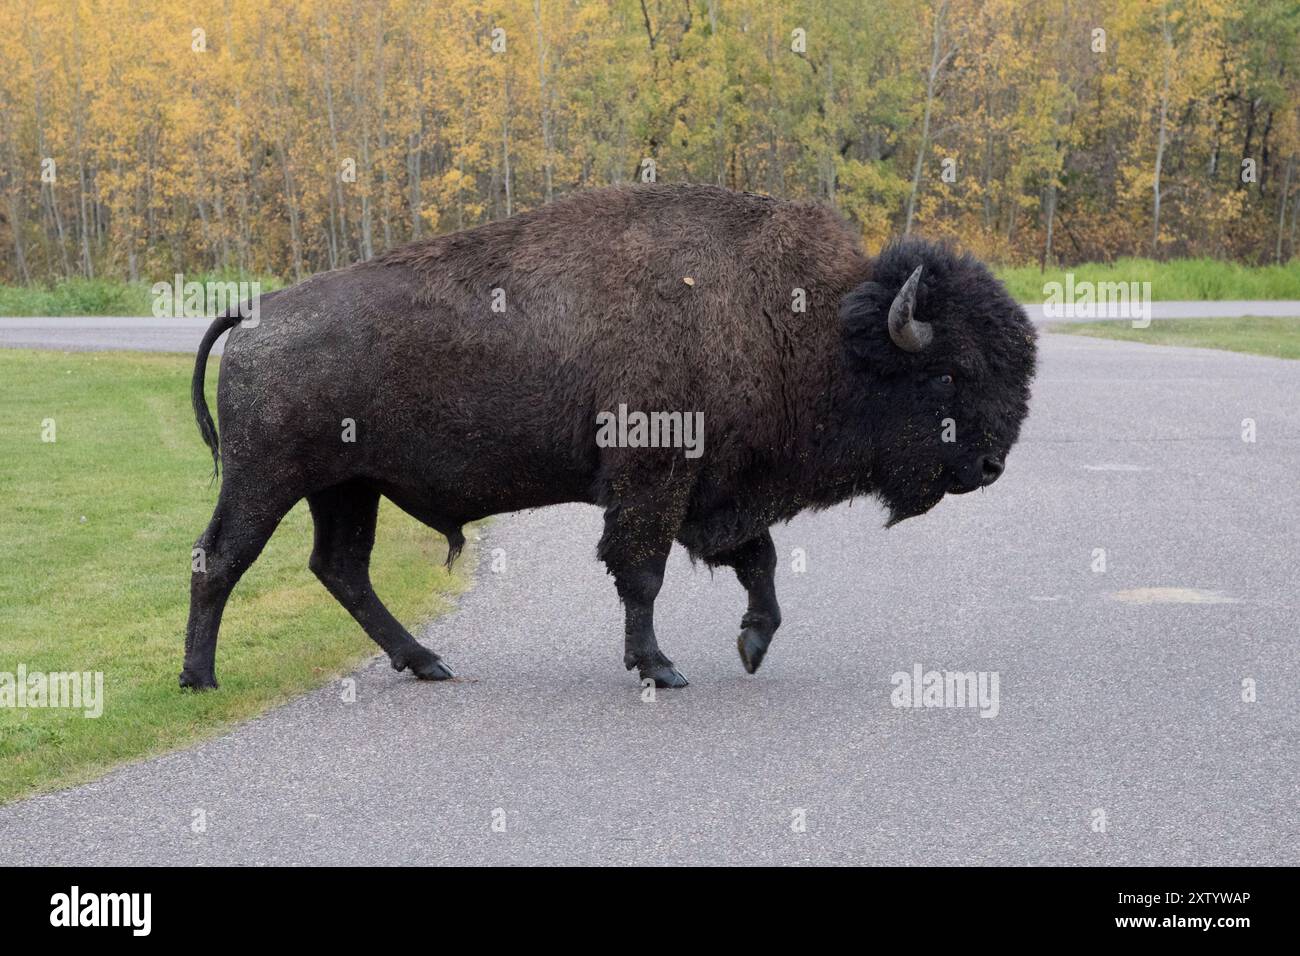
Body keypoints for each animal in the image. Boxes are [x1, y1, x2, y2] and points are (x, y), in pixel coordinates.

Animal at [183, 184, 1036, 690]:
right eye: (950, 374)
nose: (991, 464)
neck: (811, 325)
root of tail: (257, 311)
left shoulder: (717, 487)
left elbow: (754, 561)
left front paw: (753, 644)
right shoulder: (654, 480)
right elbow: (642, 572)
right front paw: (659, 667)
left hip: (347, 489)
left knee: (340, 568)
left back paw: (428, 662)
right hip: (268, 481)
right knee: (219, 561)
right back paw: (201, 679)